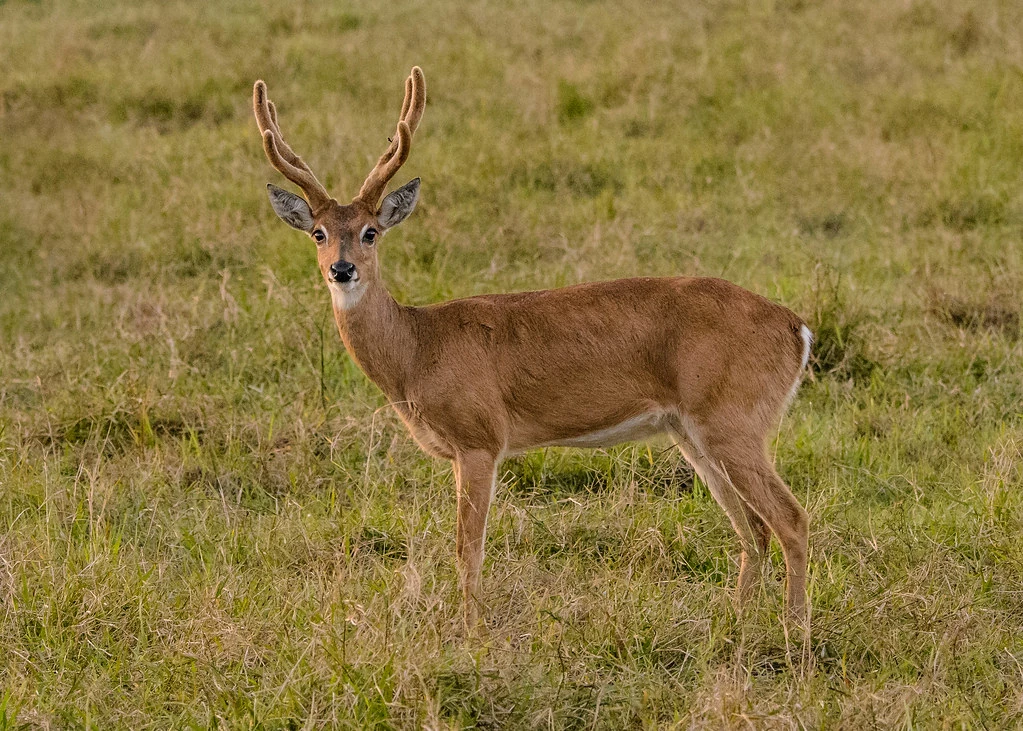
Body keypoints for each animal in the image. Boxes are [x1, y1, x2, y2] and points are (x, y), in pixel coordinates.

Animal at [253, 67, 814, 631]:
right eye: (319, 232)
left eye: (370, 232)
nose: (341, 269)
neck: (417, 351)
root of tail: (796, 329)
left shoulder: (479, 438)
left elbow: (468, 548)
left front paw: (473, 633)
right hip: (692, 431)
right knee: (753, 529)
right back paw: (737, 627)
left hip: (733, 420)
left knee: (790, 518)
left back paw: (796, 635)